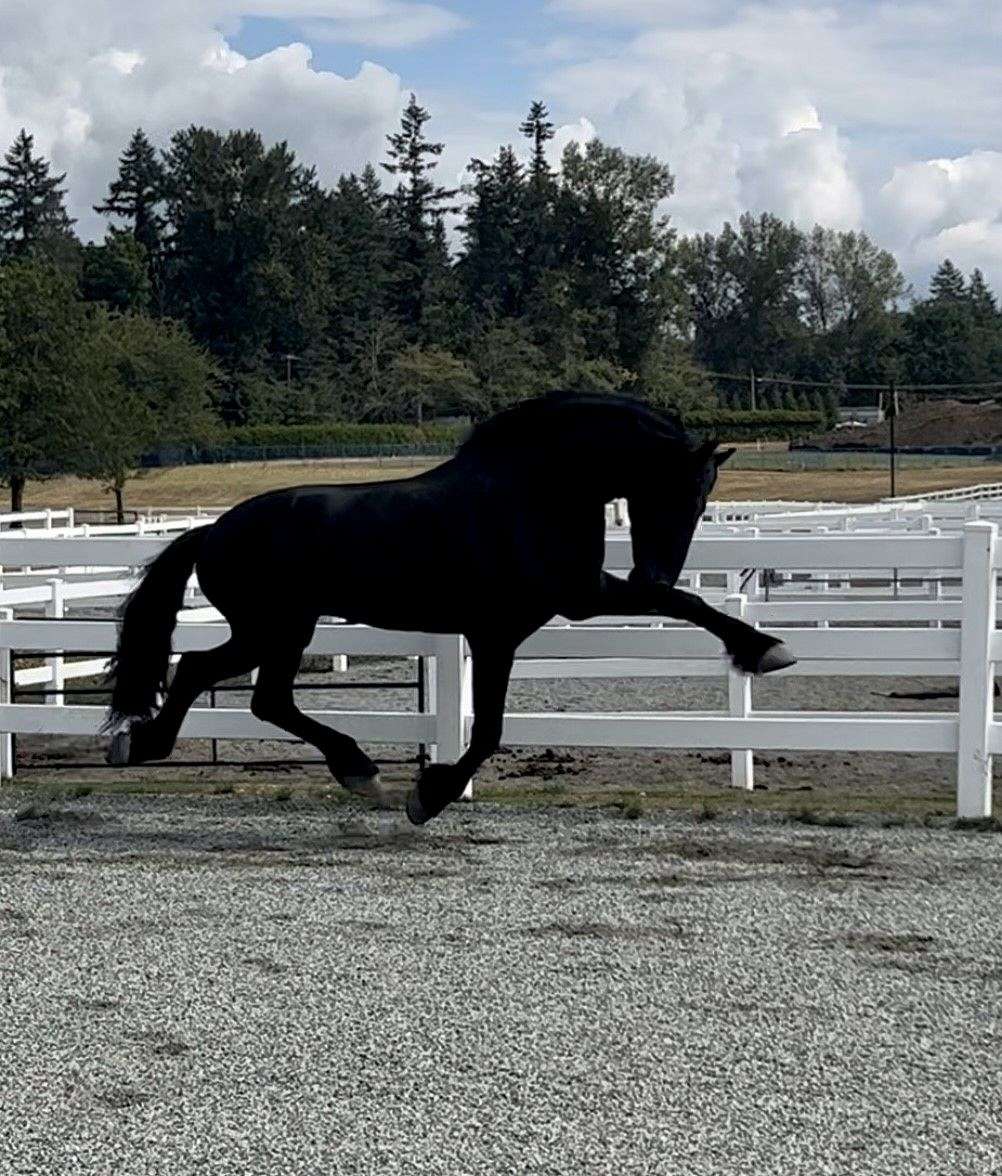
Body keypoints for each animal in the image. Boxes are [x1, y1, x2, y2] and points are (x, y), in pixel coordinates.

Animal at [104, 391, 796, 825]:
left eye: (704, 500)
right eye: (675, 491)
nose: (652, 565)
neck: (534, 490)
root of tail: (213, 531)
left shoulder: (577, 596)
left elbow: (683, 601)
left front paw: (763, 649)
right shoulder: (504, 629)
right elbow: (487, 730)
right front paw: (429, 796)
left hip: (273, 631)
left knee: (222, 679)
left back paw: (149, 746)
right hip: (278, 628)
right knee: (241, 688)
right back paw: (353, 768)